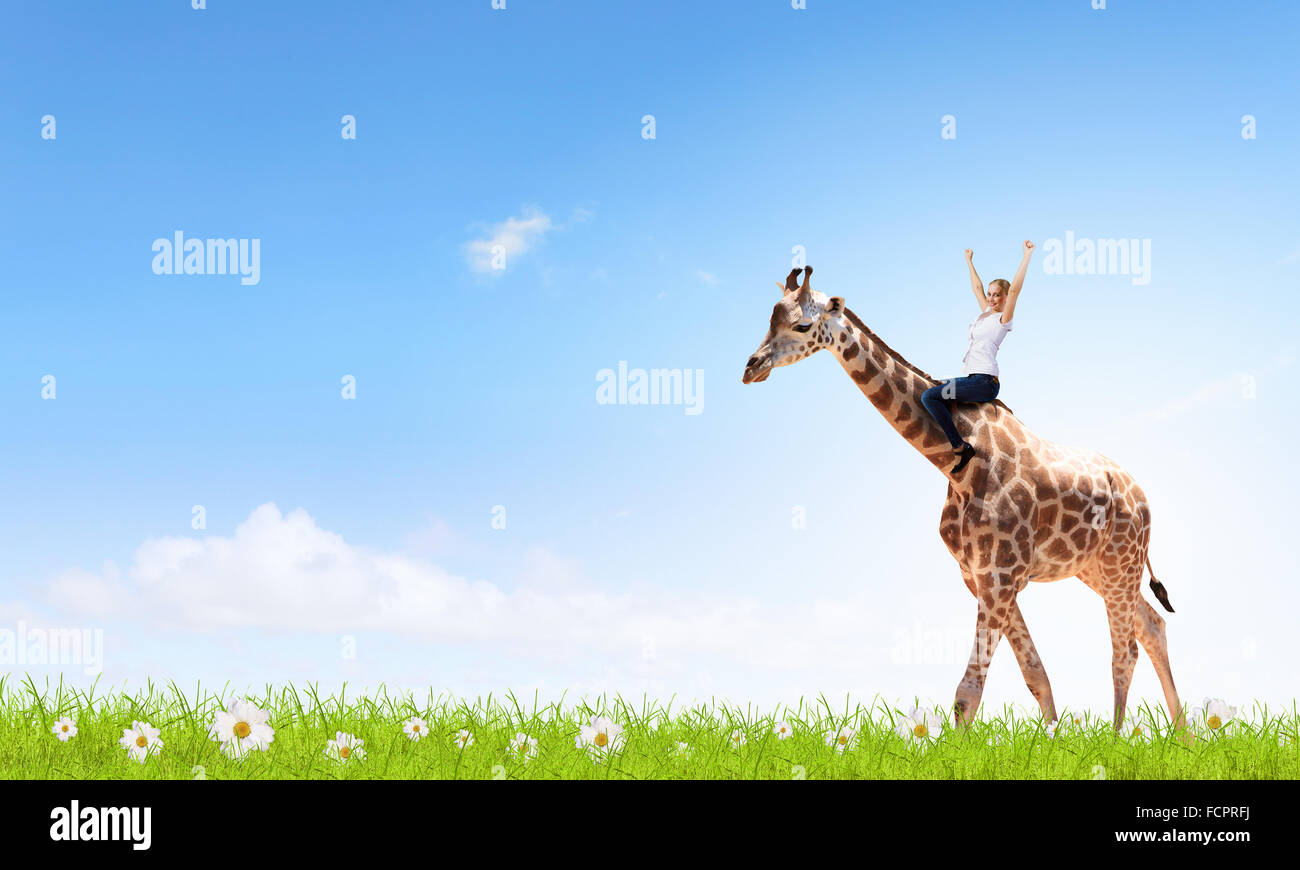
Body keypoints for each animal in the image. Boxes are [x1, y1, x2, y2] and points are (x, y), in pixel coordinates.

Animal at [742, 266, 1185, 734]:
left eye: (802, 325)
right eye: (770, 319)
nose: (752, 368)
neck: (954, 462)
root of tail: (1143, 498)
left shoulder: (1000, 575)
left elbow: (967, 692)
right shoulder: (977, 575)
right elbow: (1035, 674)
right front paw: (1051, 739)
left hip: (1120, 562)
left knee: (1125, 650)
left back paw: (1120, 739)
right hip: (1095, 567)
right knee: (1152, 625)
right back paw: (1184, 736)